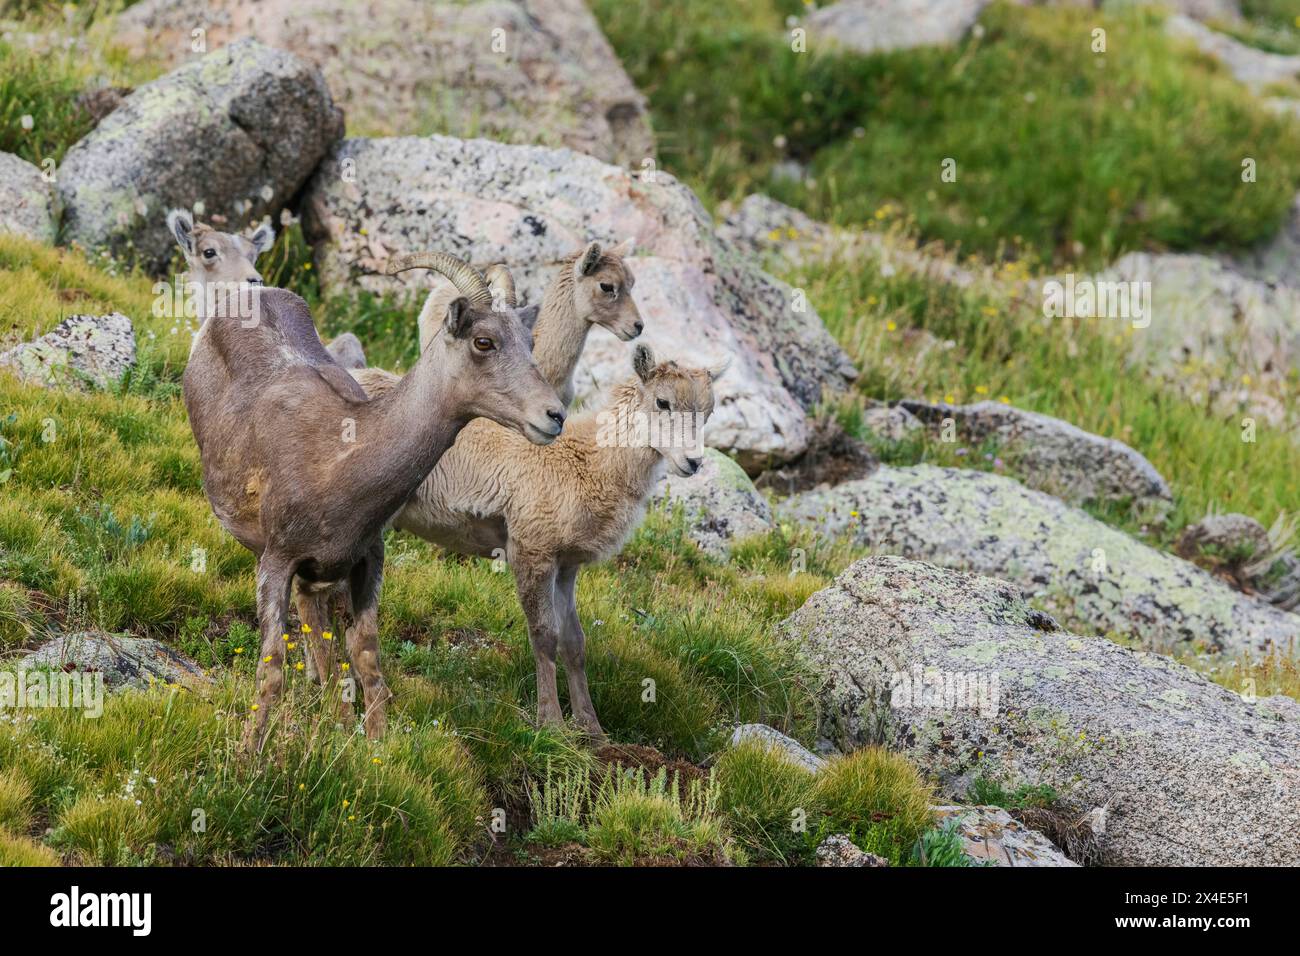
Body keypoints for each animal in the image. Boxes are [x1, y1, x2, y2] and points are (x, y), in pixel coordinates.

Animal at [177, 232, 566, 750]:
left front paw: (372, 743)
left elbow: (366, 664)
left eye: (530, 342)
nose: (554, 416)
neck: (341, 461)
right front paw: (248, 754)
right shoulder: (276, 561)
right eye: (483, 341)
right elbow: (272, 670)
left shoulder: (365, 562)